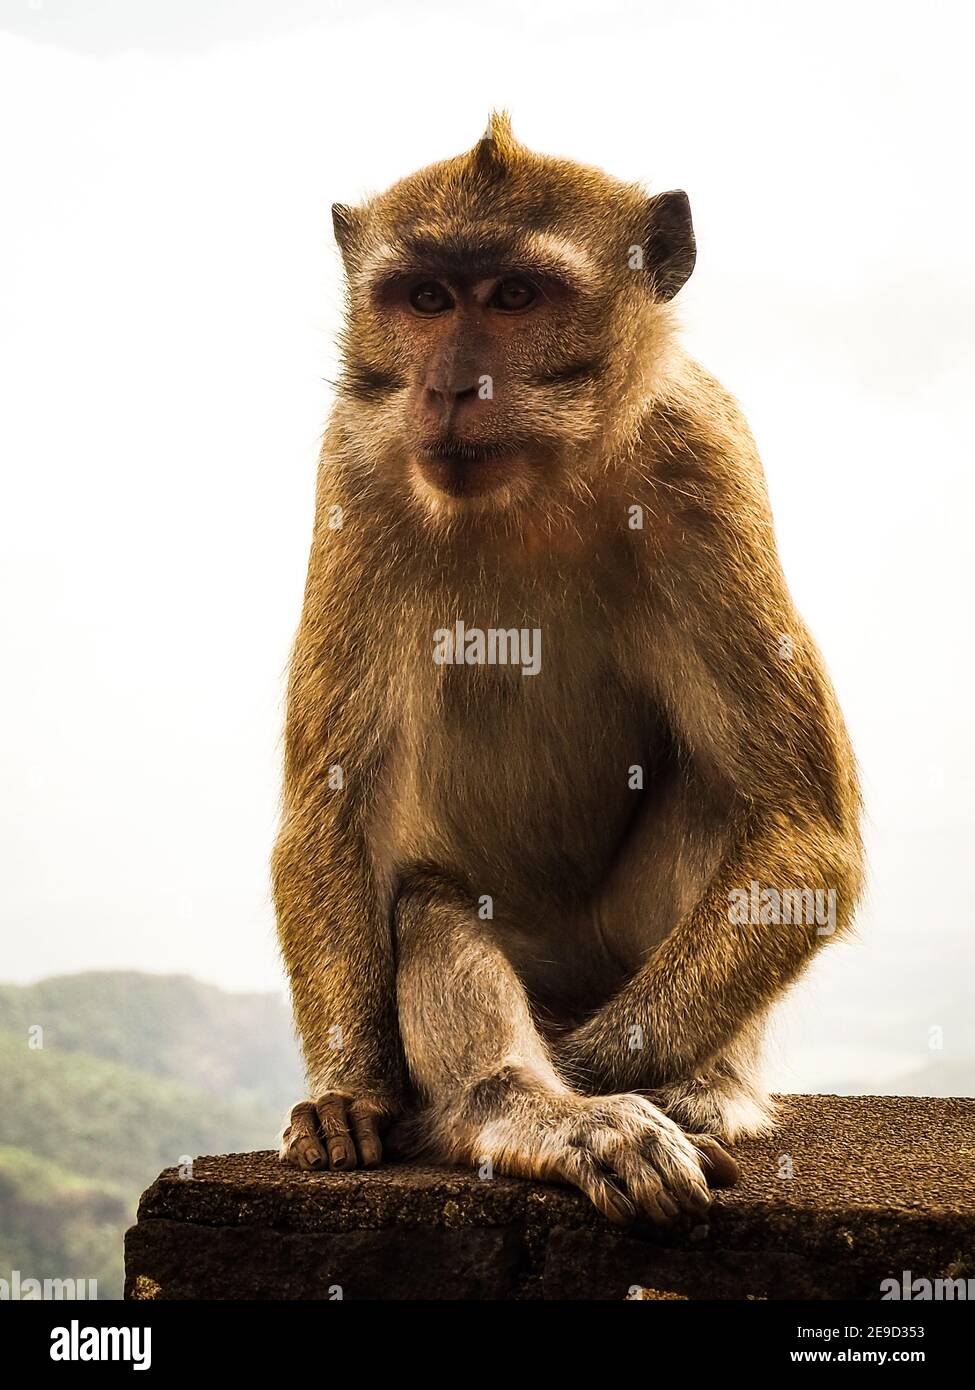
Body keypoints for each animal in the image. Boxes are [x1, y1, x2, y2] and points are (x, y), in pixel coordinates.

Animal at [274, 113, 863, 1226]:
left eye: (515, 297)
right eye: (426, 300)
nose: (449, 387)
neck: (533, 484)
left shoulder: (702, 457)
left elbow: (800, 825)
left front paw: (600, 1079)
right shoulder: (354, 471)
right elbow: (334, 801)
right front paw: (353, 1093)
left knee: (727, 797)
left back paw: (685, 1087)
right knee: (431, 902)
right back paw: (518, 1107)